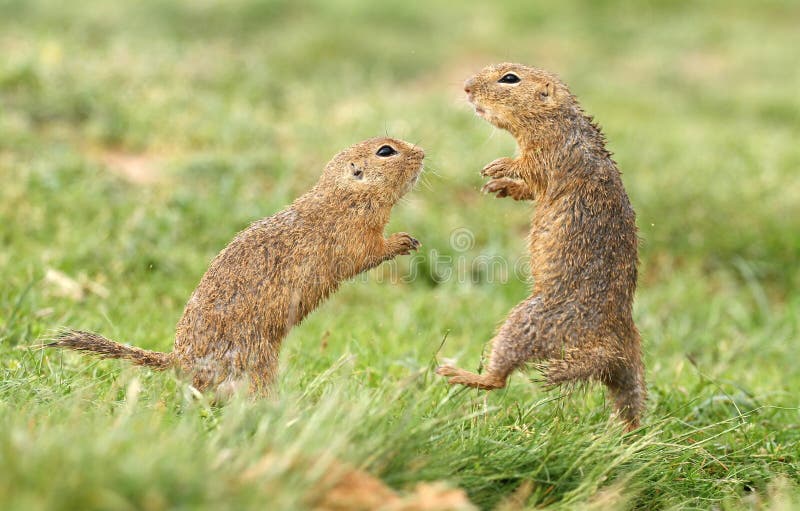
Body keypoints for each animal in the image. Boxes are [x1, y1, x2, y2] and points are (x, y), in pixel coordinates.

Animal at [48, 137, 424, 396]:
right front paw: (405, 240)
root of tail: (178, 362)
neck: (343, 196)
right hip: (256, 364)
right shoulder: (355, 236)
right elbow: (370, 253)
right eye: (386, 151)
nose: (421, 152)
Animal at [437, 63, 646, 430]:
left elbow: (532, 168)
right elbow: (530, 188)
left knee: (497, 379)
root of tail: (613, 348)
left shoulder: (553, 151)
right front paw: (502, 187)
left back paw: (456, 373)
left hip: (526, 323)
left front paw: (500, 167)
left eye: (509, 78)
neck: (561, 119)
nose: (466, 88)